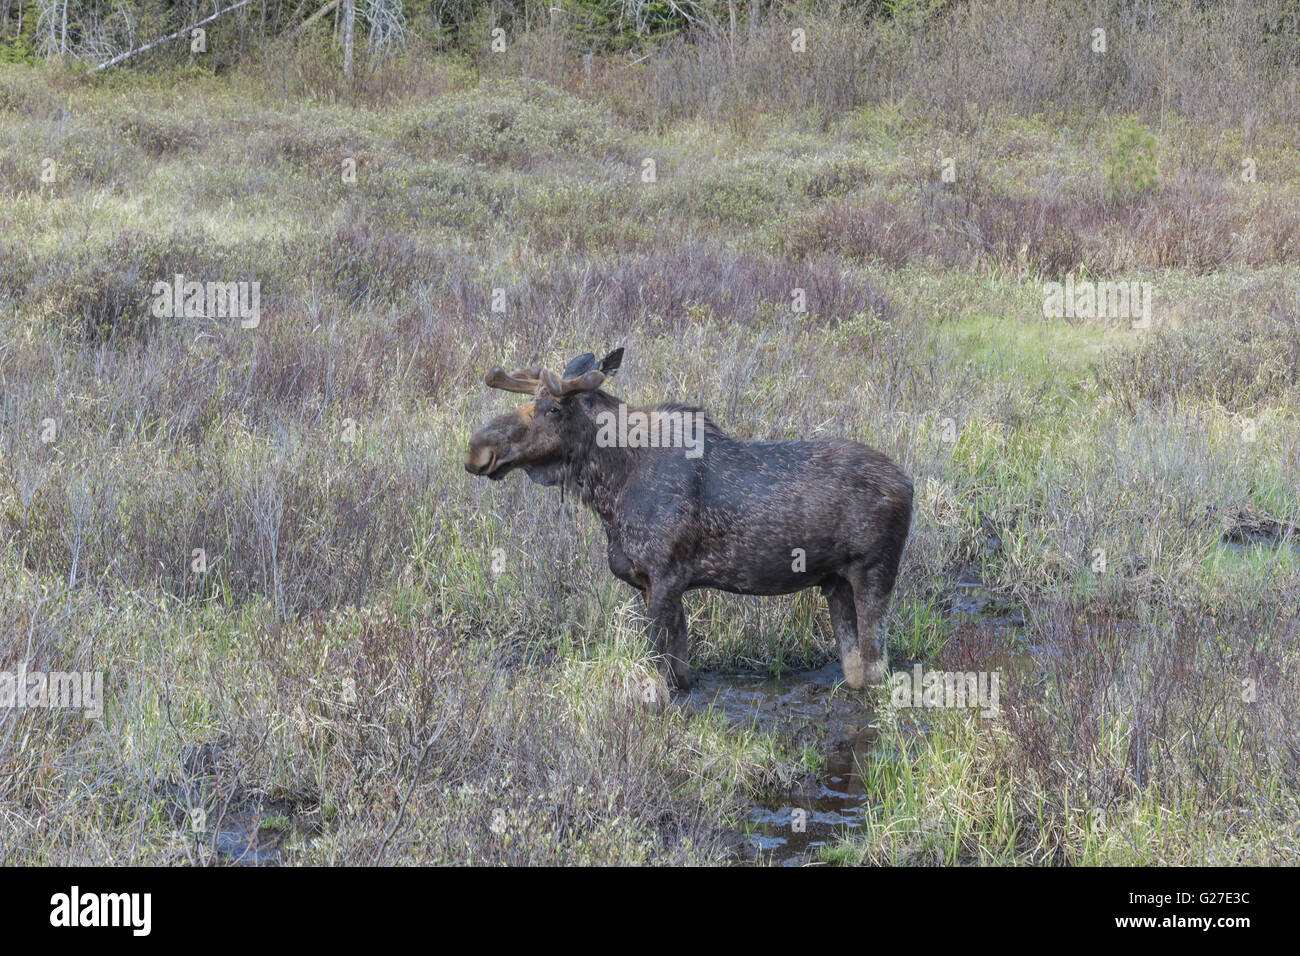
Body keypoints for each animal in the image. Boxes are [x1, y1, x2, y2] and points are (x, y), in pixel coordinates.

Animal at [464, 348, 913, 691]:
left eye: (553, 407)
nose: (477, 448)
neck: (610, 491)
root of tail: (909, 485)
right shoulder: (654, 583)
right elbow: (680, 672)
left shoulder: (664, 577)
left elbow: (663, 671)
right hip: (835, 582)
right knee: (856, 669)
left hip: (874, 573)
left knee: (877, 669)